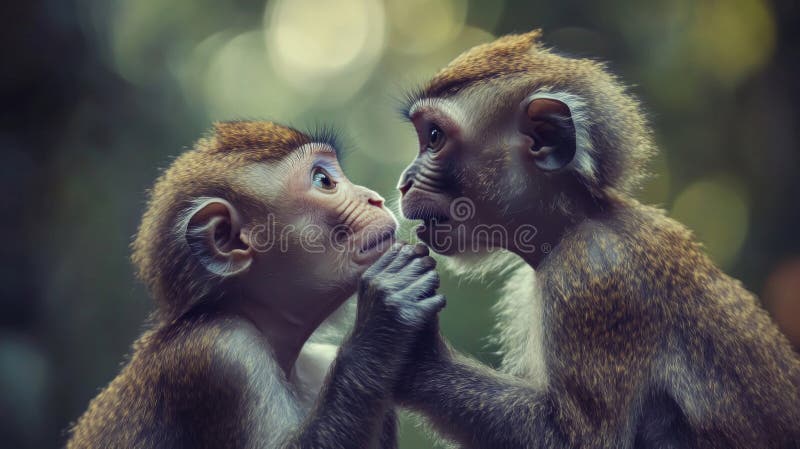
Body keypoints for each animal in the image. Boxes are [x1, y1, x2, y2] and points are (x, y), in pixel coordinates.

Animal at [394, 30, 800, 448]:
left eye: (435, 137)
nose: (404, 182)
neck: (573, 223)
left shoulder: (593, 280)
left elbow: (586, 439)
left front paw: (415, 355)